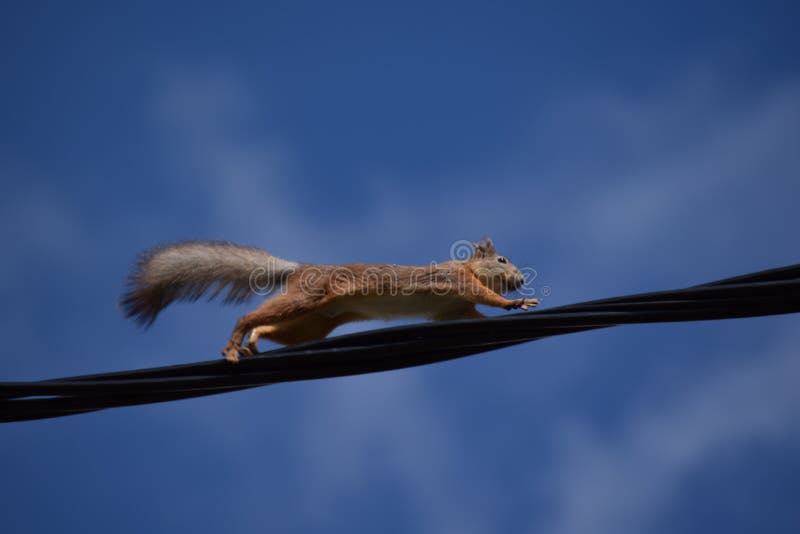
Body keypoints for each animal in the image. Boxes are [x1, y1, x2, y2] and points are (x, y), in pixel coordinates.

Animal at [120, 238, 538, 362]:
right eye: (502, 260)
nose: (520, 279)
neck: (467, 267)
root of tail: (300, 269)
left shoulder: (453, 311)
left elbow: (471, 317)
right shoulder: (455, 283)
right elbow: (481, 295)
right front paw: (515, 305)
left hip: (313, 324)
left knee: (275, 328)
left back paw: (255, 339)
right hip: (307, 298)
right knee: (249, 315)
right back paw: (236, 340)